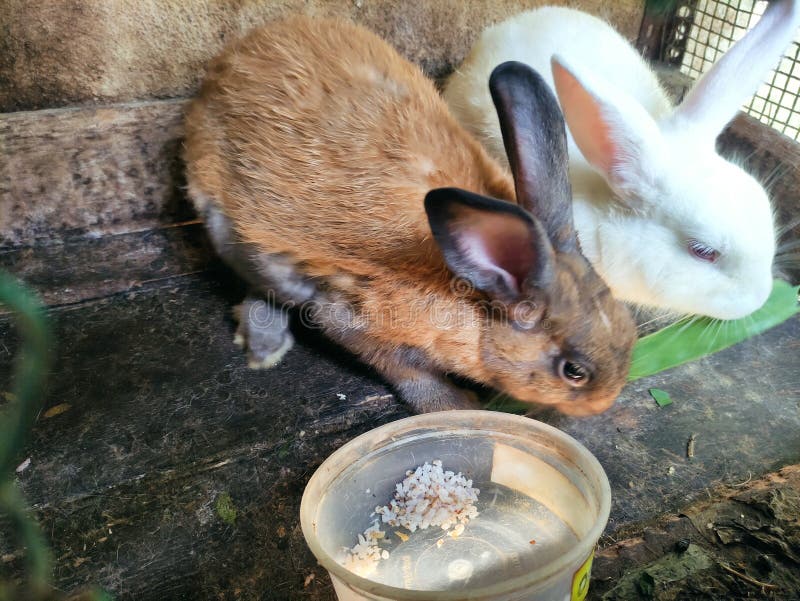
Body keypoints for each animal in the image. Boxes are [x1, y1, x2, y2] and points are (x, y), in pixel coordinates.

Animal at [183, 16, 636, 416]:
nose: (604, 403)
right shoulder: (351, 321)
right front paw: (454, 406)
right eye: (574, 371)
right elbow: (407, 372)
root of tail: (224, 65)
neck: (475, 299)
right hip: (231, 233)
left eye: (628, 328)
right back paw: (264, 346)